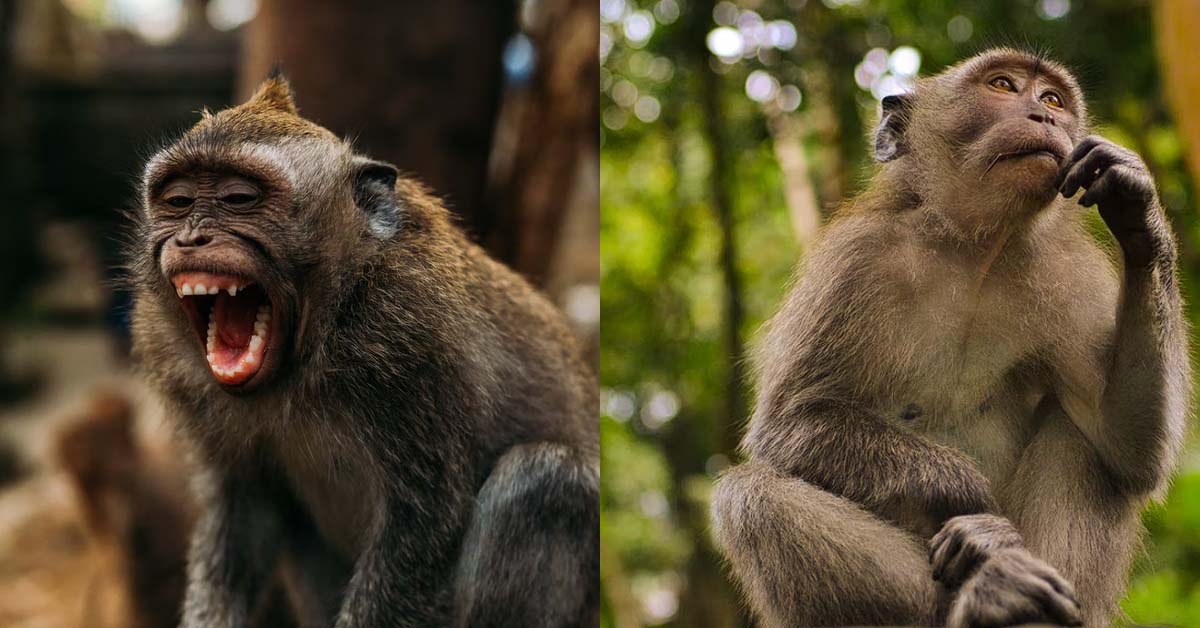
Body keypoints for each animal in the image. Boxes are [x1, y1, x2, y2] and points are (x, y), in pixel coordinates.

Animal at [125, 74, 599, 628]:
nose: (191, 237)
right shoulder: (167, 352)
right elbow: (243, 507)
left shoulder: (412, 335)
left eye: (239, 197)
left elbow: (422, 525)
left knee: (544, 480)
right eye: (177, 200)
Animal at [710, 48, 1189, 628]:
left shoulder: (1070, 276)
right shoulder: (854, 261)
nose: (1045, 117)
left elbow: (1128, 447)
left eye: (1053, 99)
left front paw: (1136, 205)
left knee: (1081, 436)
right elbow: (790, 423)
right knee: (750, 496)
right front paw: (974, 504)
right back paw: (989, 593)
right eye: (1003, 86)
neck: (974, 251)